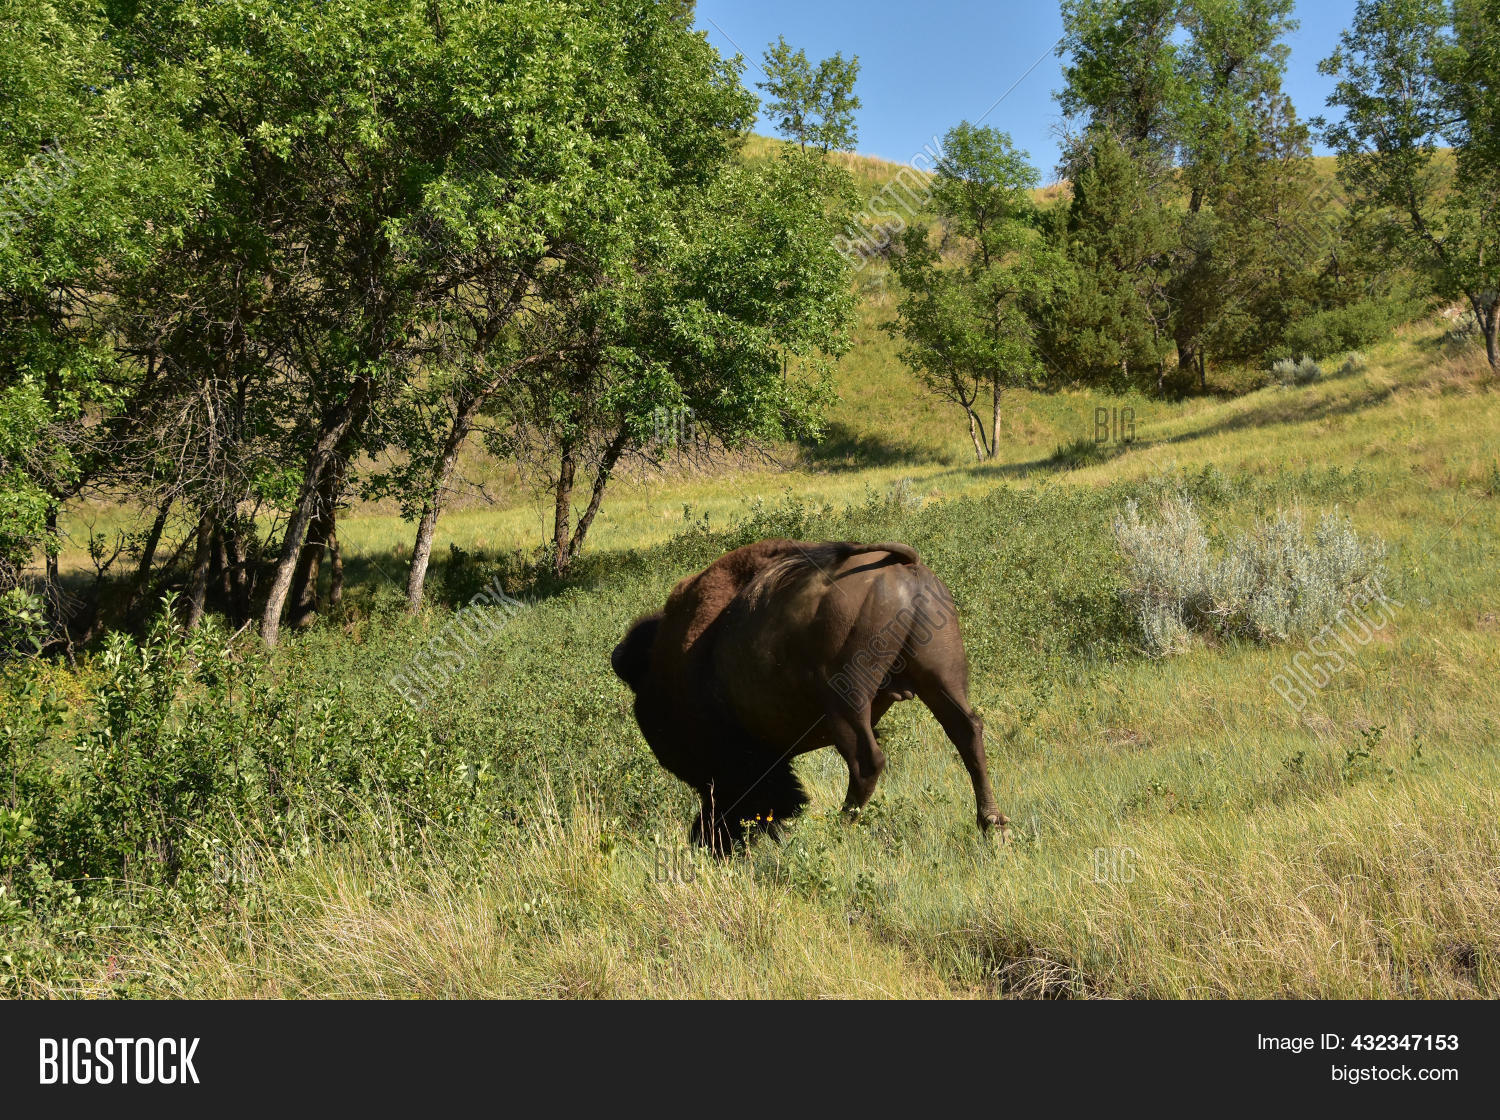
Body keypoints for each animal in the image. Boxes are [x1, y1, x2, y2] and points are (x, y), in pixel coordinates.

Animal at [611, 538, 1006, 851]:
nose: (706, 841)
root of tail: (902, 566)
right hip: (940, 678)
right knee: (967, 732)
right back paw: (993, 825)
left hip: (846, 702)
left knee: (867, 761)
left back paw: (837, 832)